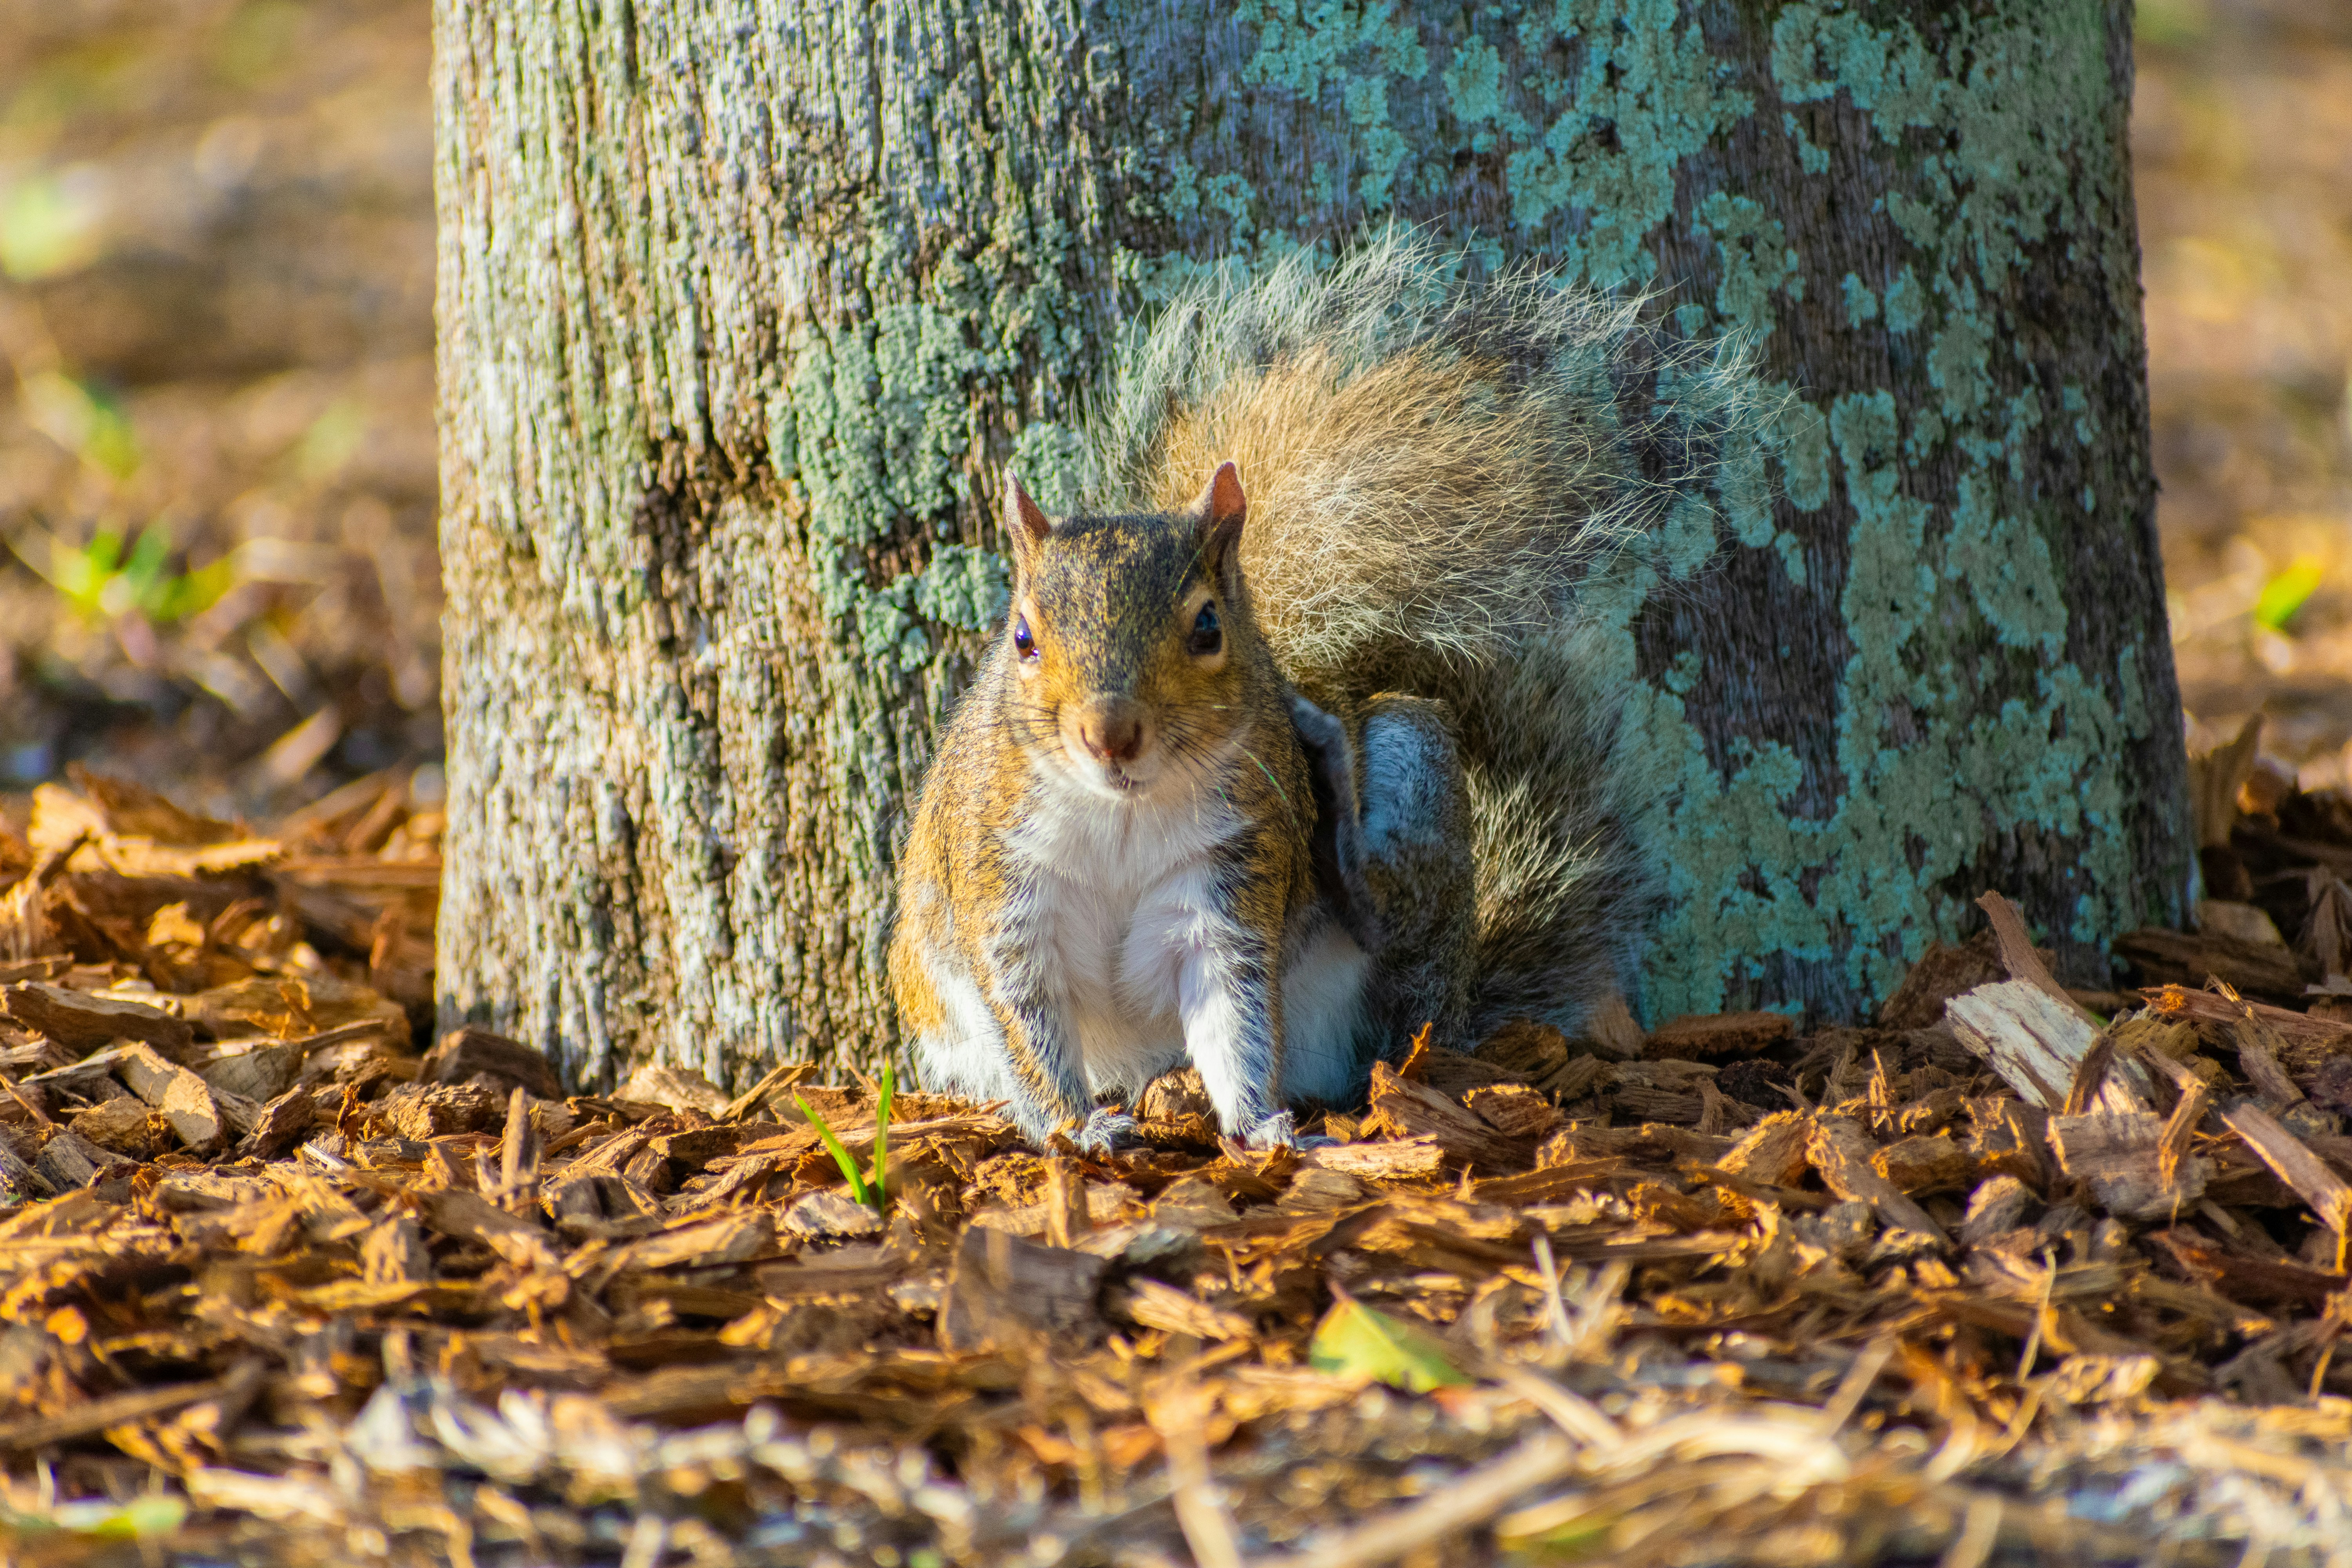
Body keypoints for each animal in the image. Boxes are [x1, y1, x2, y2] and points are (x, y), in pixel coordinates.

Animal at [888, 235, 1758, 1150]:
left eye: (1208, 628)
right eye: (1022, 637)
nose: (1110, 733)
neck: (1123, 814)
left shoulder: (1228, 885)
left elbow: (1234, 1018)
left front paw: (1260, 1128)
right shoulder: (1002, 887)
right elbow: (1027, 1024)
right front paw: (1075, 1129)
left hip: (1412, 784)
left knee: (1399, 952)